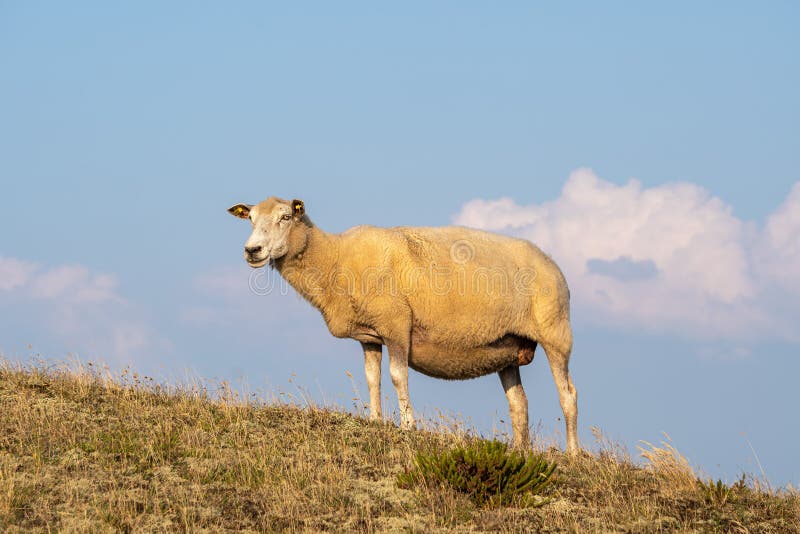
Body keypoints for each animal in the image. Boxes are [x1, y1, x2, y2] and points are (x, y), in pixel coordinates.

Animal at [228, 196, 579, 453]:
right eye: (250, 219)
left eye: (286, 217)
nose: (252, 251)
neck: (335, 259)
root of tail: (551, 263)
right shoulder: (370, 336)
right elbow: (372, 378)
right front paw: (374, 419)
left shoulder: (396, 324)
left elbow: (398, 376)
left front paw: (408, 425)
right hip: (508, 349)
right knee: (519, 404)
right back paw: (520, 450)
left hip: (556, 333)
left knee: (568, 395)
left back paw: (573, 453)